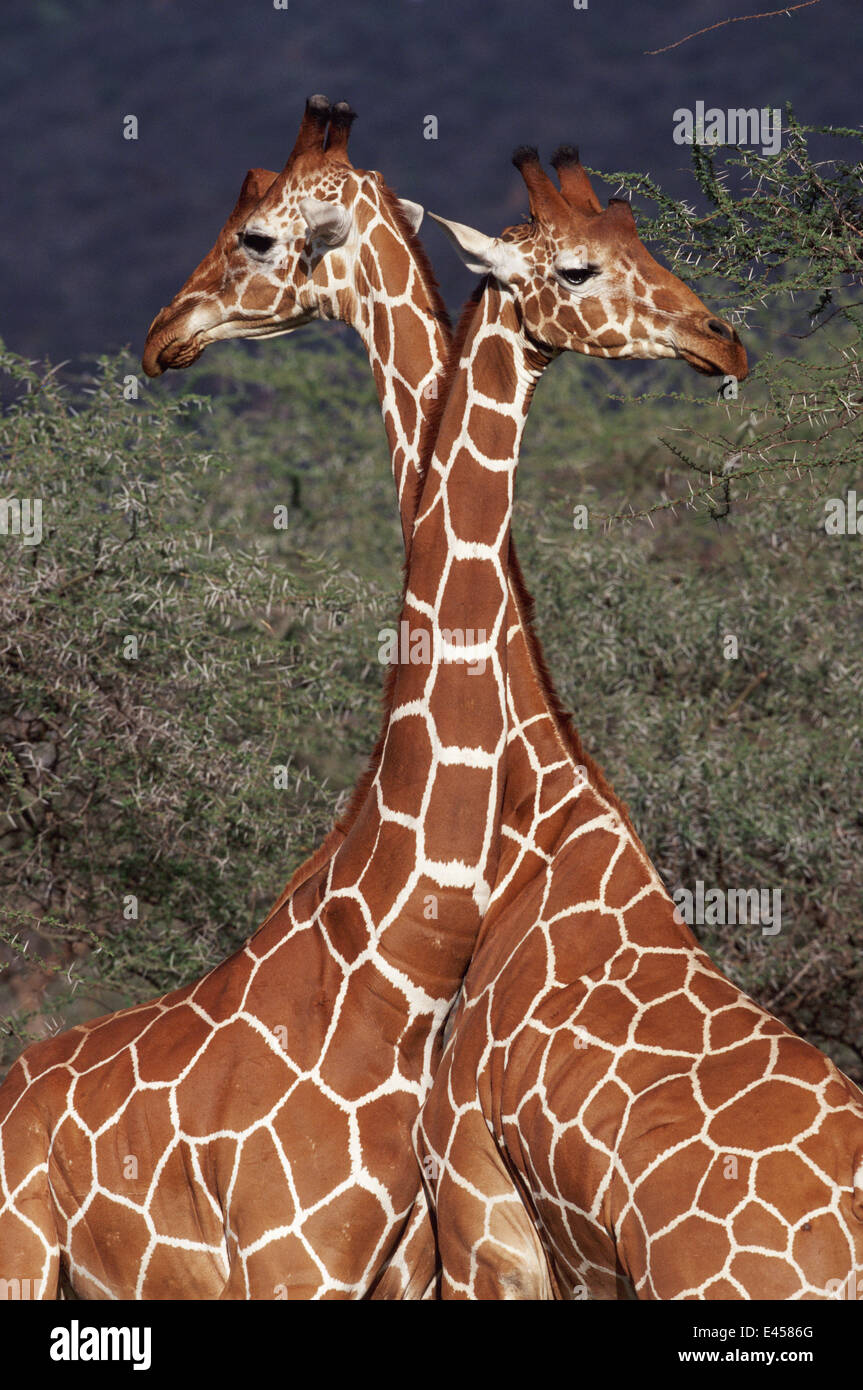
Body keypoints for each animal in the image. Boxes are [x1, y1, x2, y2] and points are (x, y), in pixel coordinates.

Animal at [0, 97, 513, 1301]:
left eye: (257, 237)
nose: (160, 335)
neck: (391, 982)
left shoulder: (396, 1270)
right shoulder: (291, 1264)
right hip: (17, 1255)